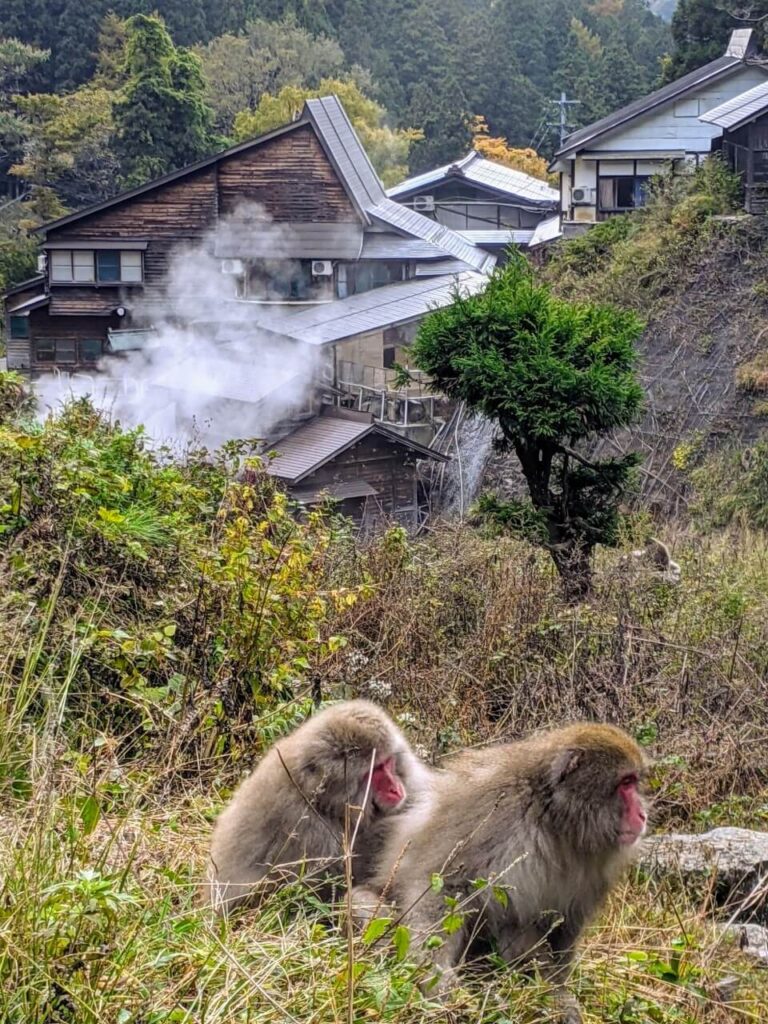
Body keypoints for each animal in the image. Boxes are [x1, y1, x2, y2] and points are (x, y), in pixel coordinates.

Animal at [368, 723, 648, 1024]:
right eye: (626, 783)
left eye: (634, 782)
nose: (643, 814)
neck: (555, 819)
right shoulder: (496, 814)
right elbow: (442, 886)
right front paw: (437, 979)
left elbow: (565, 924)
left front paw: (558, 995)